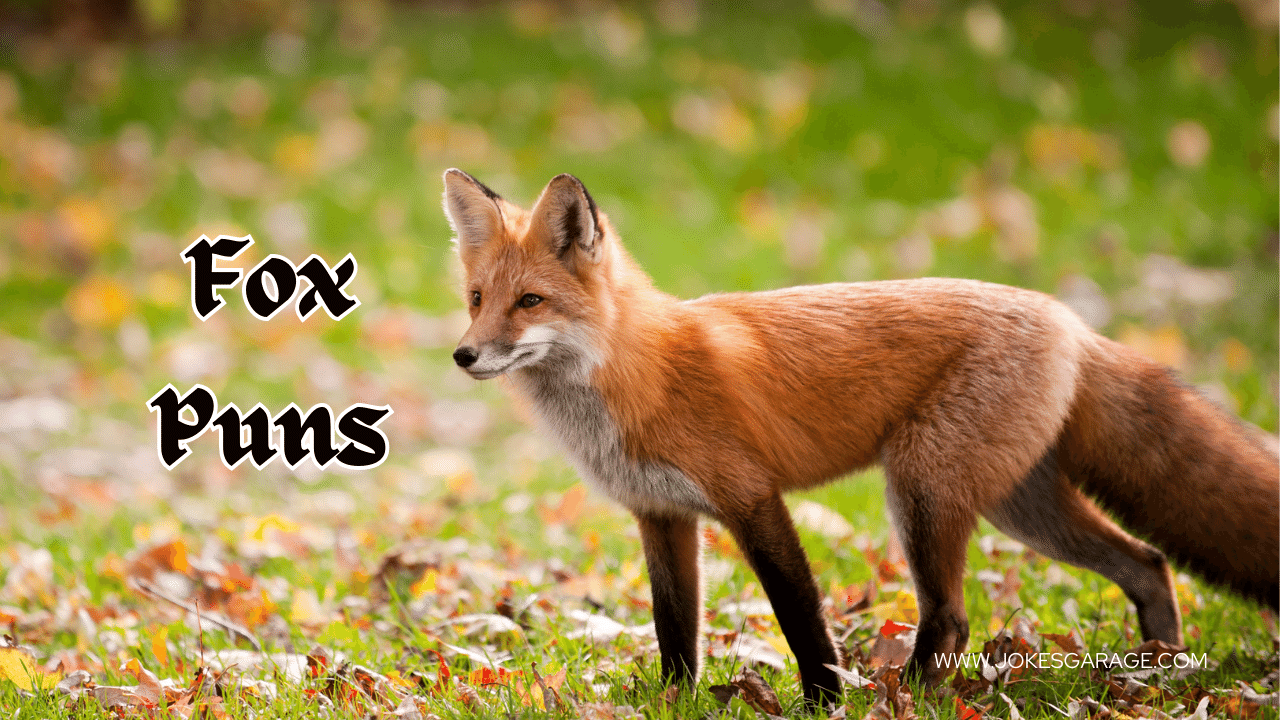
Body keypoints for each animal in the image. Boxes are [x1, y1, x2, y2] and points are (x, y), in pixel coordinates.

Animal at [441, 168, 1280, 707]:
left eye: (530, 301)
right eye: (478, 299)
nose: (464, 355)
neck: (634, 372)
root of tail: (1069, 319)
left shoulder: (751, 498)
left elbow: (800, 615)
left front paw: (823, 699)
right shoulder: (662, 515)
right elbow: (675, 626)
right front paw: (676, 701)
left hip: (922, 490)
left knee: (953, 616)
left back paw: (904, 694)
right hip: (1020, 507)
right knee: (1148, 562)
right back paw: (1157, 668)